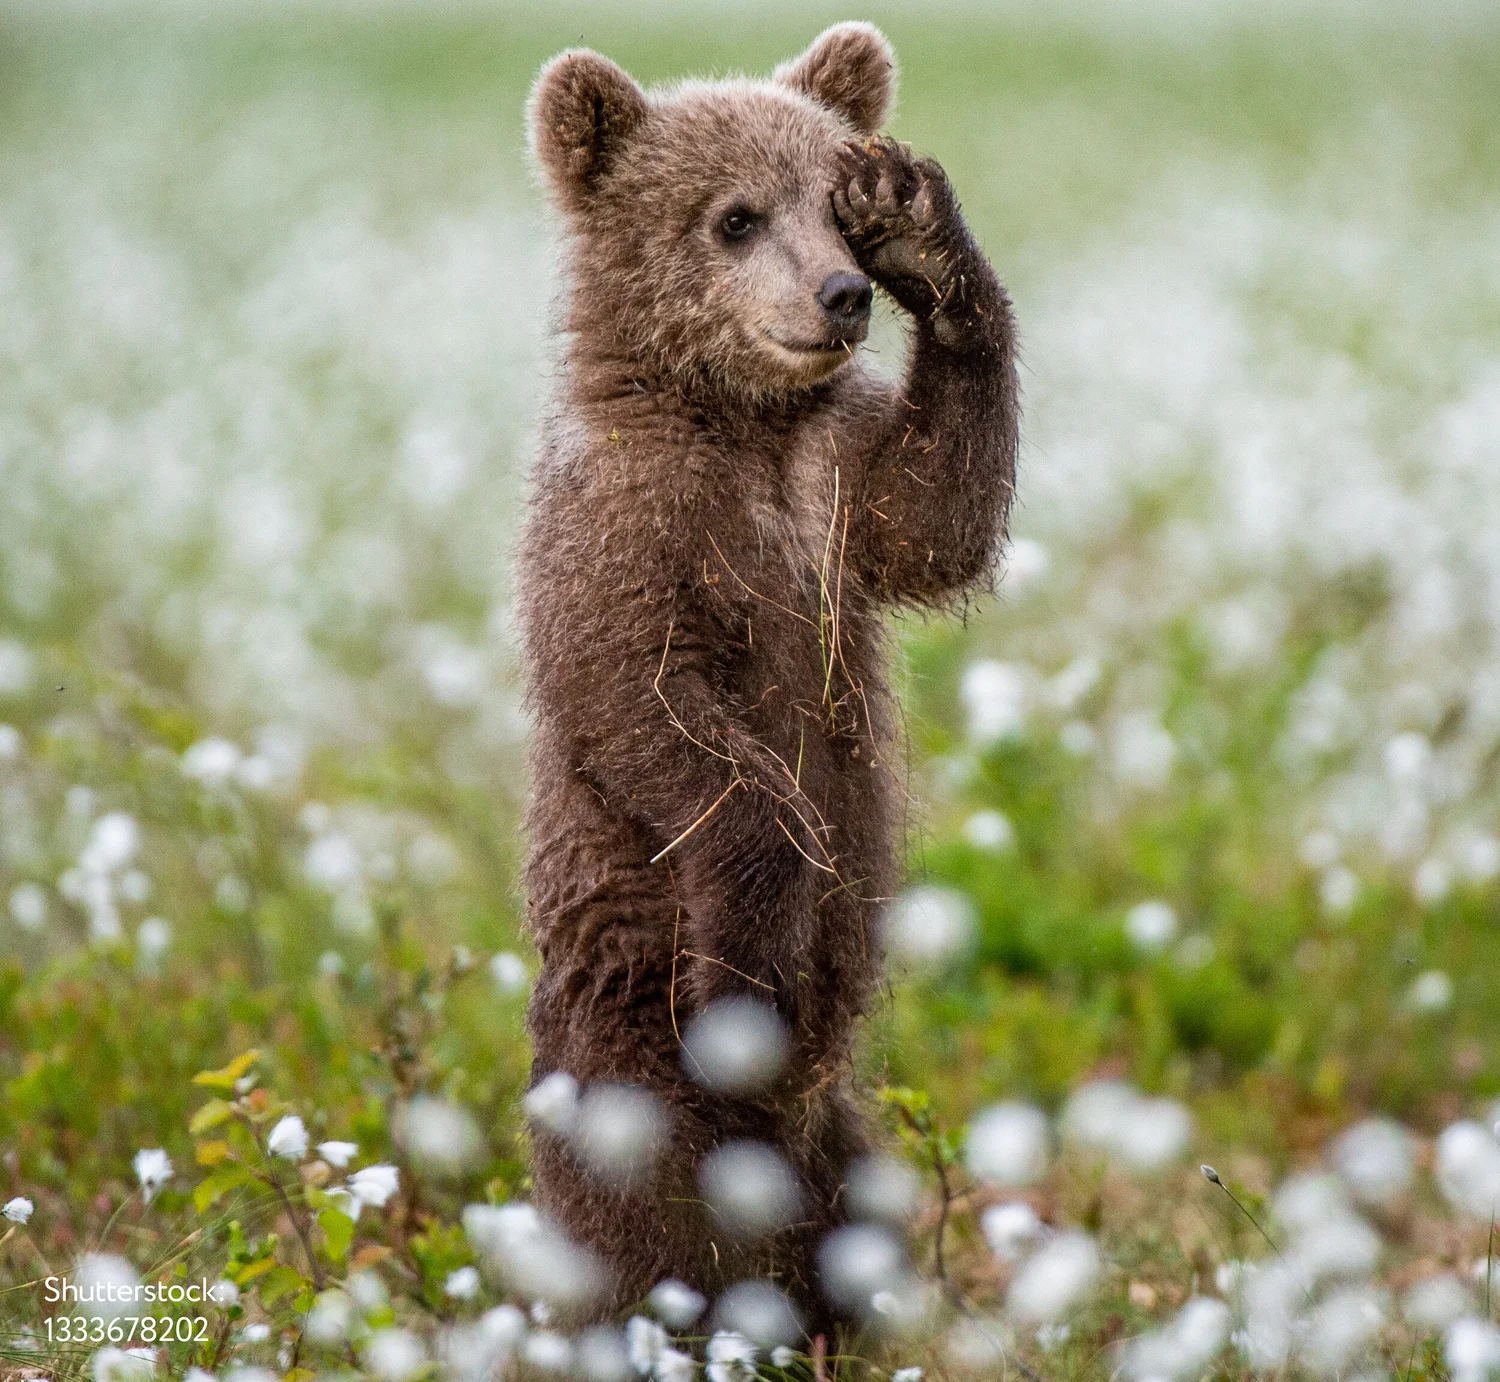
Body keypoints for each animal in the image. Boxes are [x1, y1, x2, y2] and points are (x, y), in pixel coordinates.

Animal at [516, 21, 1018, 1328]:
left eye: (828, 207)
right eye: (734, 217)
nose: (840, 293)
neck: (742, 421)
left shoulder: (836, 482)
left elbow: (938, 513)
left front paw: (922, 225)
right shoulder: (625, 524)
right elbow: (649, 708)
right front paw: (755, 955)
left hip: (844, 1136)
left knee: (857, 1213)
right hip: (627, 1069)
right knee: (639, 1226)